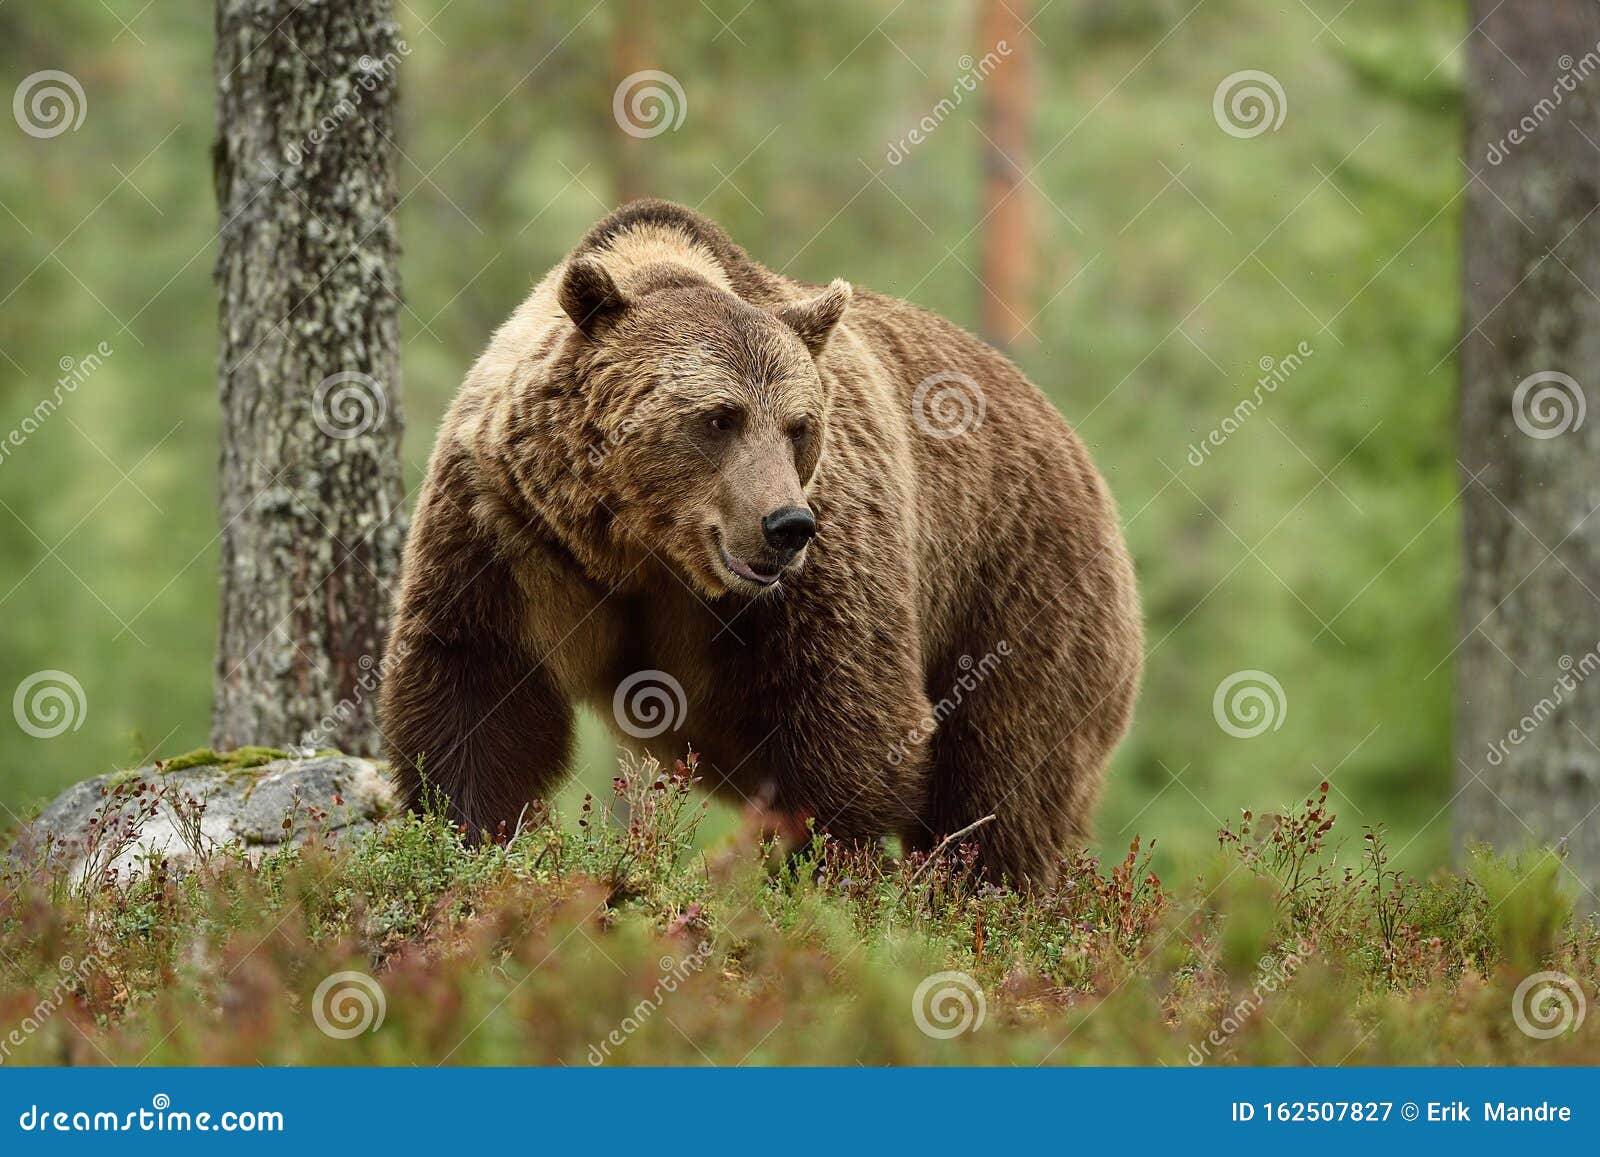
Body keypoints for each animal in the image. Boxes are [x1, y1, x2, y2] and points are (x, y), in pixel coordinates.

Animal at [380, 199, 1142, 884]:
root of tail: (1076, 448)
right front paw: (471, 835)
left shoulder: (821, 570)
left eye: (799, 425)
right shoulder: (511, 525)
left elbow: (847, 719)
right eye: (720, 417)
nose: (787, 525)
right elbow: (478, 682)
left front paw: (819, 874)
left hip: (1019, 595)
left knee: (1002, 782)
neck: (642, 546)